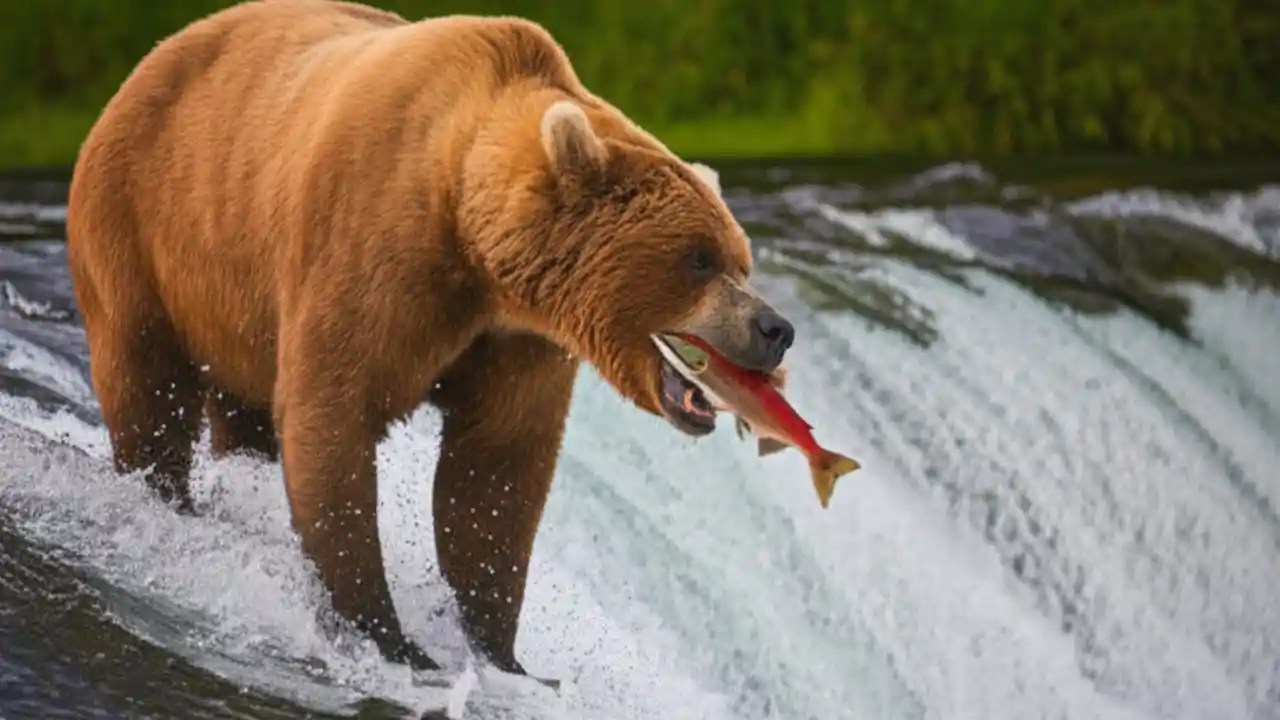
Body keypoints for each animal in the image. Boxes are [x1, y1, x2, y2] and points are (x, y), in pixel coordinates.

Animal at [65, 0, 795, 675]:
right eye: (699, 258)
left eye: (740, 260)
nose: (775, 329)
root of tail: (144, 66)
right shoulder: (370, 249)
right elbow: (333, 418)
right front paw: (388, 634)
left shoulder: (517, 341)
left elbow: (494, 473)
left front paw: (499, 650)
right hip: (141, 228)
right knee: (146, 387)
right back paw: (162, 497)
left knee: (240, 413)